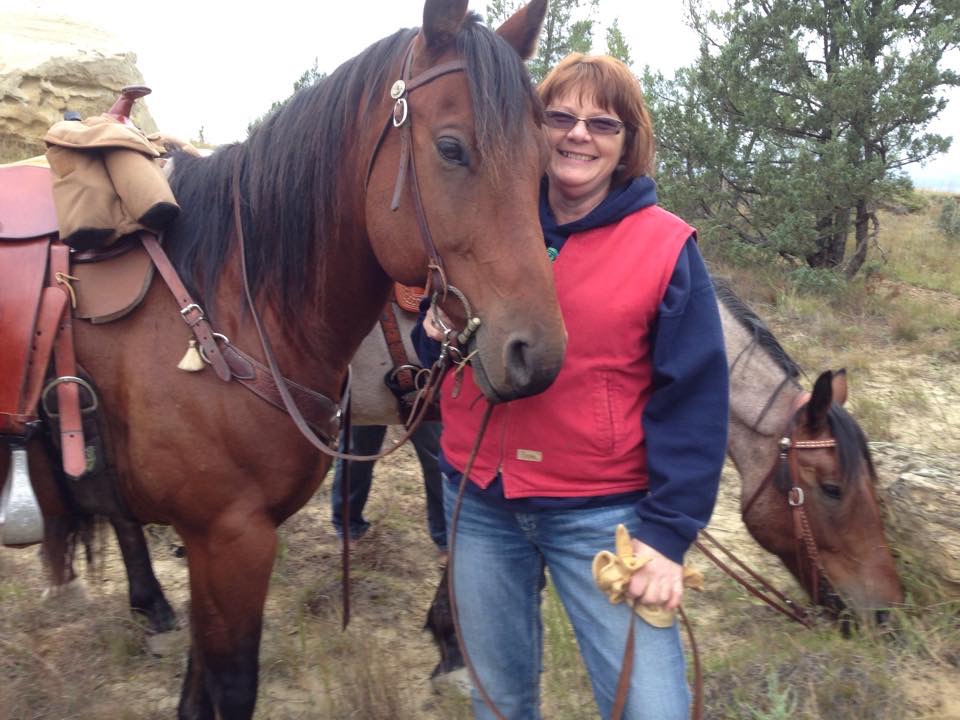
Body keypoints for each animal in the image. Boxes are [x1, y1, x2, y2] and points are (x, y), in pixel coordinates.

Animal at [5, 1, 568, 717]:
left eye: (545, 163)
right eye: (450, 148)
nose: (537, 354)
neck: (231, 304)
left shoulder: (218, 541)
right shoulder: (231, 539)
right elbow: (232, 688)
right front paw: (449, 643)